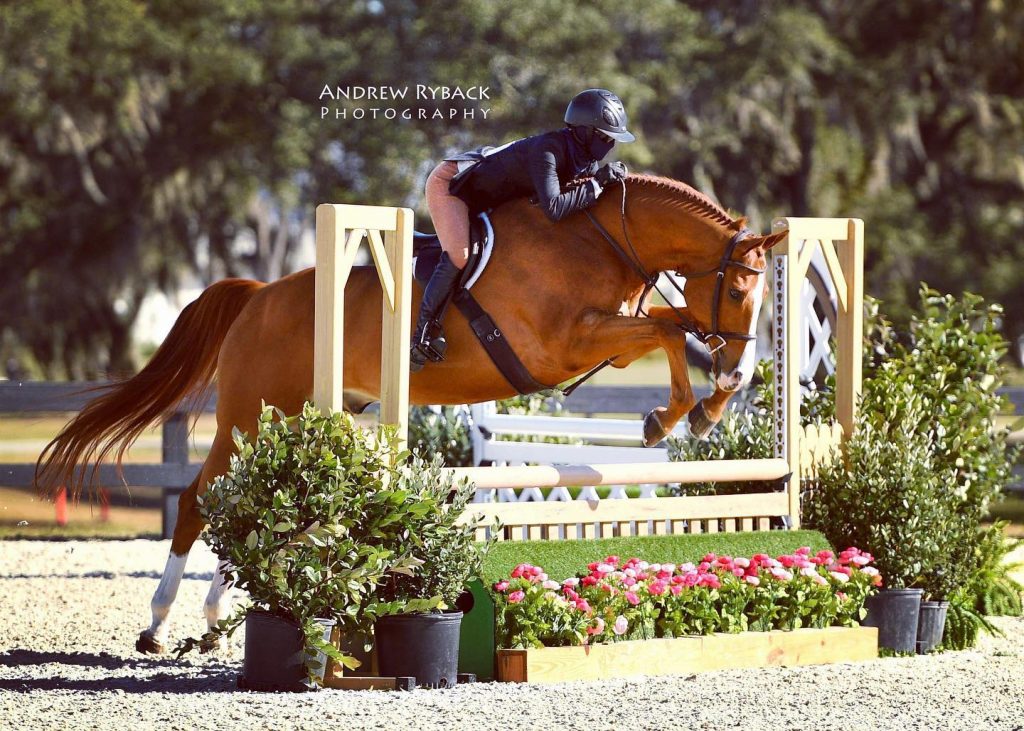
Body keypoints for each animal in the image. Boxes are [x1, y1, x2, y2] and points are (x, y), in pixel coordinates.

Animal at [35, 173, 785, 653]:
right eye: (739, 289)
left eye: (764, 295)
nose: (740, 367)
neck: (599, 236)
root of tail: (258, 294)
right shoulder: (565, 344)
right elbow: (669, 329)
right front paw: (678, 415)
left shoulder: (608, 339)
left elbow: (670, 326)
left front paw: (705, 408)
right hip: (248, 417)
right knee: (199, 501)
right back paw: (157, 626)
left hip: (294, 422)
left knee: (243, 503)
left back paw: (216, 612)